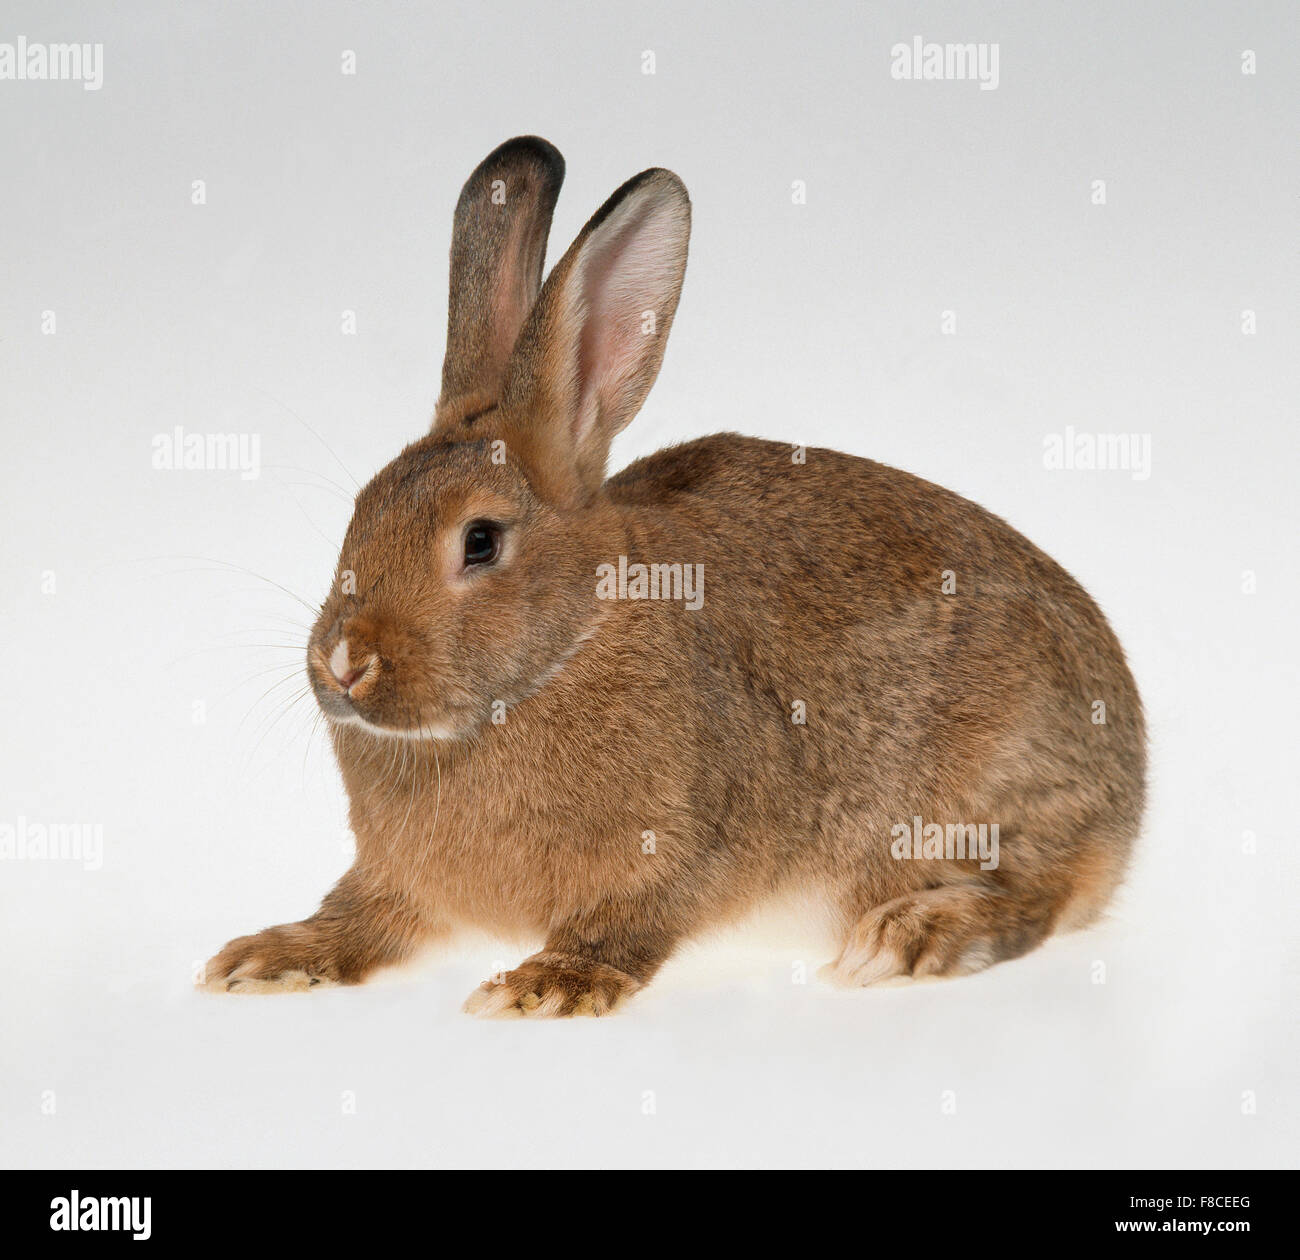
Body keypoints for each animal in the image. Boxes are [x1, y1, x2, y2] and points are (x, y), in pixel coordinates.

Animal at [204, 136, 1146, 1015]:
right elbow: (359, 918)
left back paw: (911, 936)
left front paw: (545, 985)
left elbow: (628, 923)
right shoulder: (396, 883)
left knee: (1038, 892)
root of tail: (1131, 786)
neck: (567, 647)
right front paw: (267, 958)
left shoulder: (681, 850)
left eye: (479, 542)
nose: (344, 663)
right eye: (360, 512)